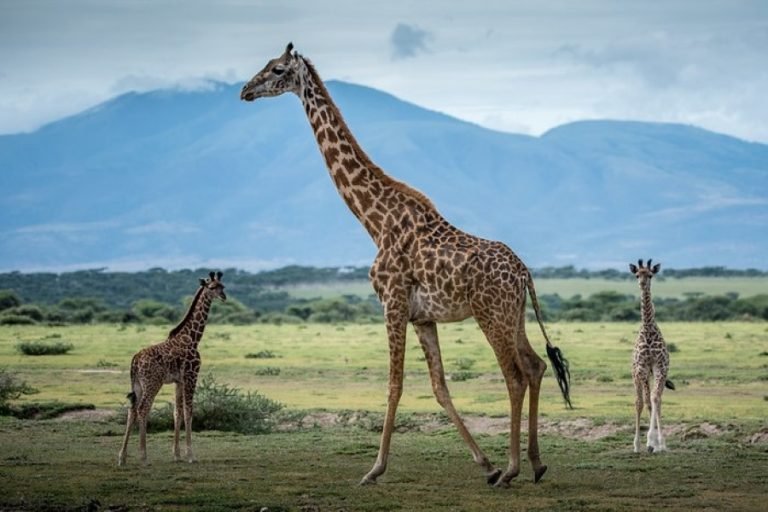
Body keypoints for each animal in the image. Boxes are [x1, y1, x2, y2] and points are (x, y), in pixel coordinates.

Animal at [117, 271, 226, 466]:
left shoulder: (179, 380)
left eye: (223, 286)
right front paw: (190, 455)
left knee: (132, 410)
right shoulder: (191, 375)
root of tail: (135, 360)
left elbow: (177, 412)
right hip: (152, 383)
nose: (224, 296)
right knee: (143, 409)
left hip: (137, 384)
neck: (193, 338)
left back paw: (122, 457)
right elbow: (189, 412)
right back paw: (143, 457)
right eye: (212, 287)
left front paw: (176, 455)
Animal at [240, 43, 572, 487]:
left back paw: (514, 469)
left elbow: (394, 385)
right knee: (535, 367)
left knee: (515, 376)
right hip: (513, 315)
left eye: (276, 69)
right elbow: (439, 385)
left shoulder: (392, 303)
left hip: (491, 314)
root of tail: (525, 273)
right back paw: (535, 464)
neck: (374, 221)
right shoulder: (422, 317)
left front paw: (374, 469)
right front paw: (484, 463)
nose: (245, 90)